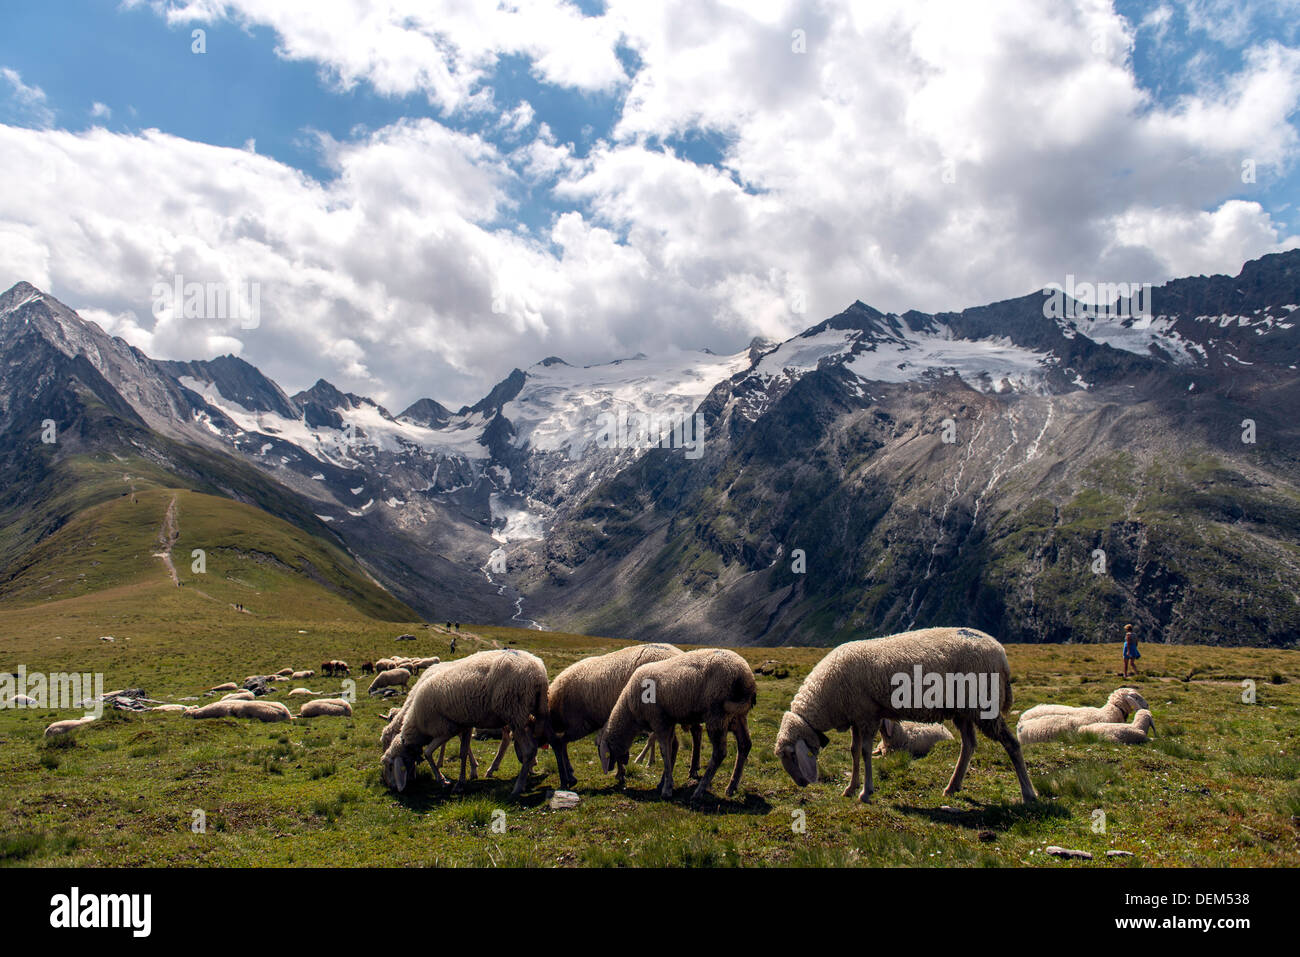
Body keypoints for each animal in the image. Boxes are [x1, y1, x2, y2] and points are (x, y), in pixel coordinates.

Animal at [380, 649, 548, 798]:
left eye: (390, 766)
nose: (389, 786)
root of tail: (539, 671)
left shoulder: (446, 729)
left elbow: (428, 753)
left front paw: (443, 780)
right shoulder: (464, 724)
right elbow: (463, 752)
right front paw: (461, 782)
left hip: (513, 710)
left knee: (527, 748)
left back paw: (518, 786)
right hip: (529, 712)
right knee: (527, 741)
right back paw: (523, 770)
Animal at [546, 643, 702, 790]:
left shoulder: (580, 723)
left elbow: (562, 744)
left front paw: (570, 776)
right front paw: (620, 773)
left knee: (678, 742)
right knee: (695, 732)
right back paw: (693, 769)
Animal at [596, 648, 756, 802]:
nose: (612, 771)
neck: (630, 712)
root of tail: (745, 674)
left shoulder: (659, 721)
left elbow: (665, 751)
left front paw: (667, 789)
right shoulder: (669, 722)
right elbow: (671, 748)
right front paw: (664, 781)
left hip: (717, 715)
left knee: (719, 753)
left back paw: (699, 791)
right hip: (737, 716)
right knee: (745, 744)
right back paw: (731, 786)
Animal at [774, 627, 1037, 804]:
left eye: (792, 755)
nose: (800, 783)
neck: (826, 696)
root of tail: (1001, 653)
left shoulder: (868, 716)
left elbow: (865, 752)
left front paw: (865, 792)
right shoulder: (857, 717)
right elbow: (854, 751)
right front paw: (850, 788)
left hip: (984, 705)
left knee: (1011, 744)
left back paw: (1028, 793)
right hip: (963, 710)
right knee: (969, 745)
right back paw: (952, 787)